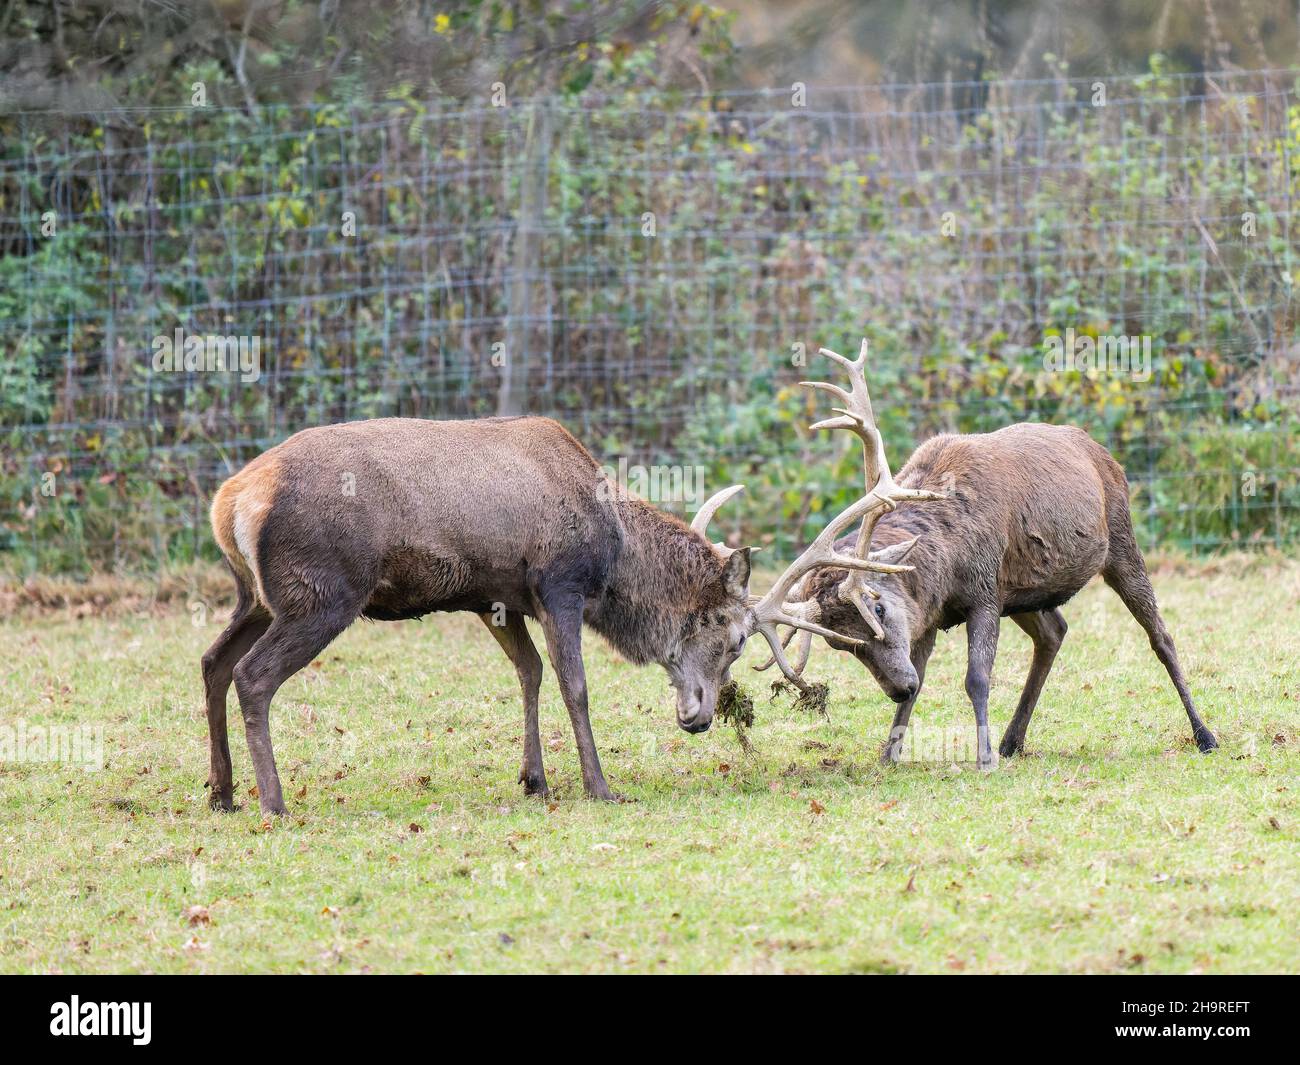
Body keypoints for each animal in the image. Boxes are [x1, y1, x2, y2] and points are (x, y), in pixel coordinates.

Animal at [202, 415, 878, 816]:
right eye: (737, 638)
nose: (700, 717)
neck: (615, 552)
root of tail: (230, 500)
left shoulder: (495, 598)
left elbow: (528, 673)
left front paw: (535, 780)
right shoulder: (560, 583)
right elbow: (573, 684)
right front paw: (600, 787)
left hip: (255, 596)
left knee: (212, 662)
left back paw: (223, 793)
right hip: (322, 592)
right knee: (253, 675)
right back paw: (273, 802)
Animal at [756, 340, 1218, 769]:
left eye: (879, 608)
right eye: (841, 644)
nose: (899, 687)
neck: (947, 563)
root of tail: (1101, 450)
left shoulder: (983, 590)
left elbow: (977, 678)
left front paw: (983, 757)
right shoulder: (936, 611)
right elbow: (925, 673)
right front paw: (890, 754)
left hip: (1120, 540)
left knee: (1161, 636)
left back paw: (1205, 735)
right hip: (1023, 591)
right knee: (1055, 631)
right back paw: (1014, 740)